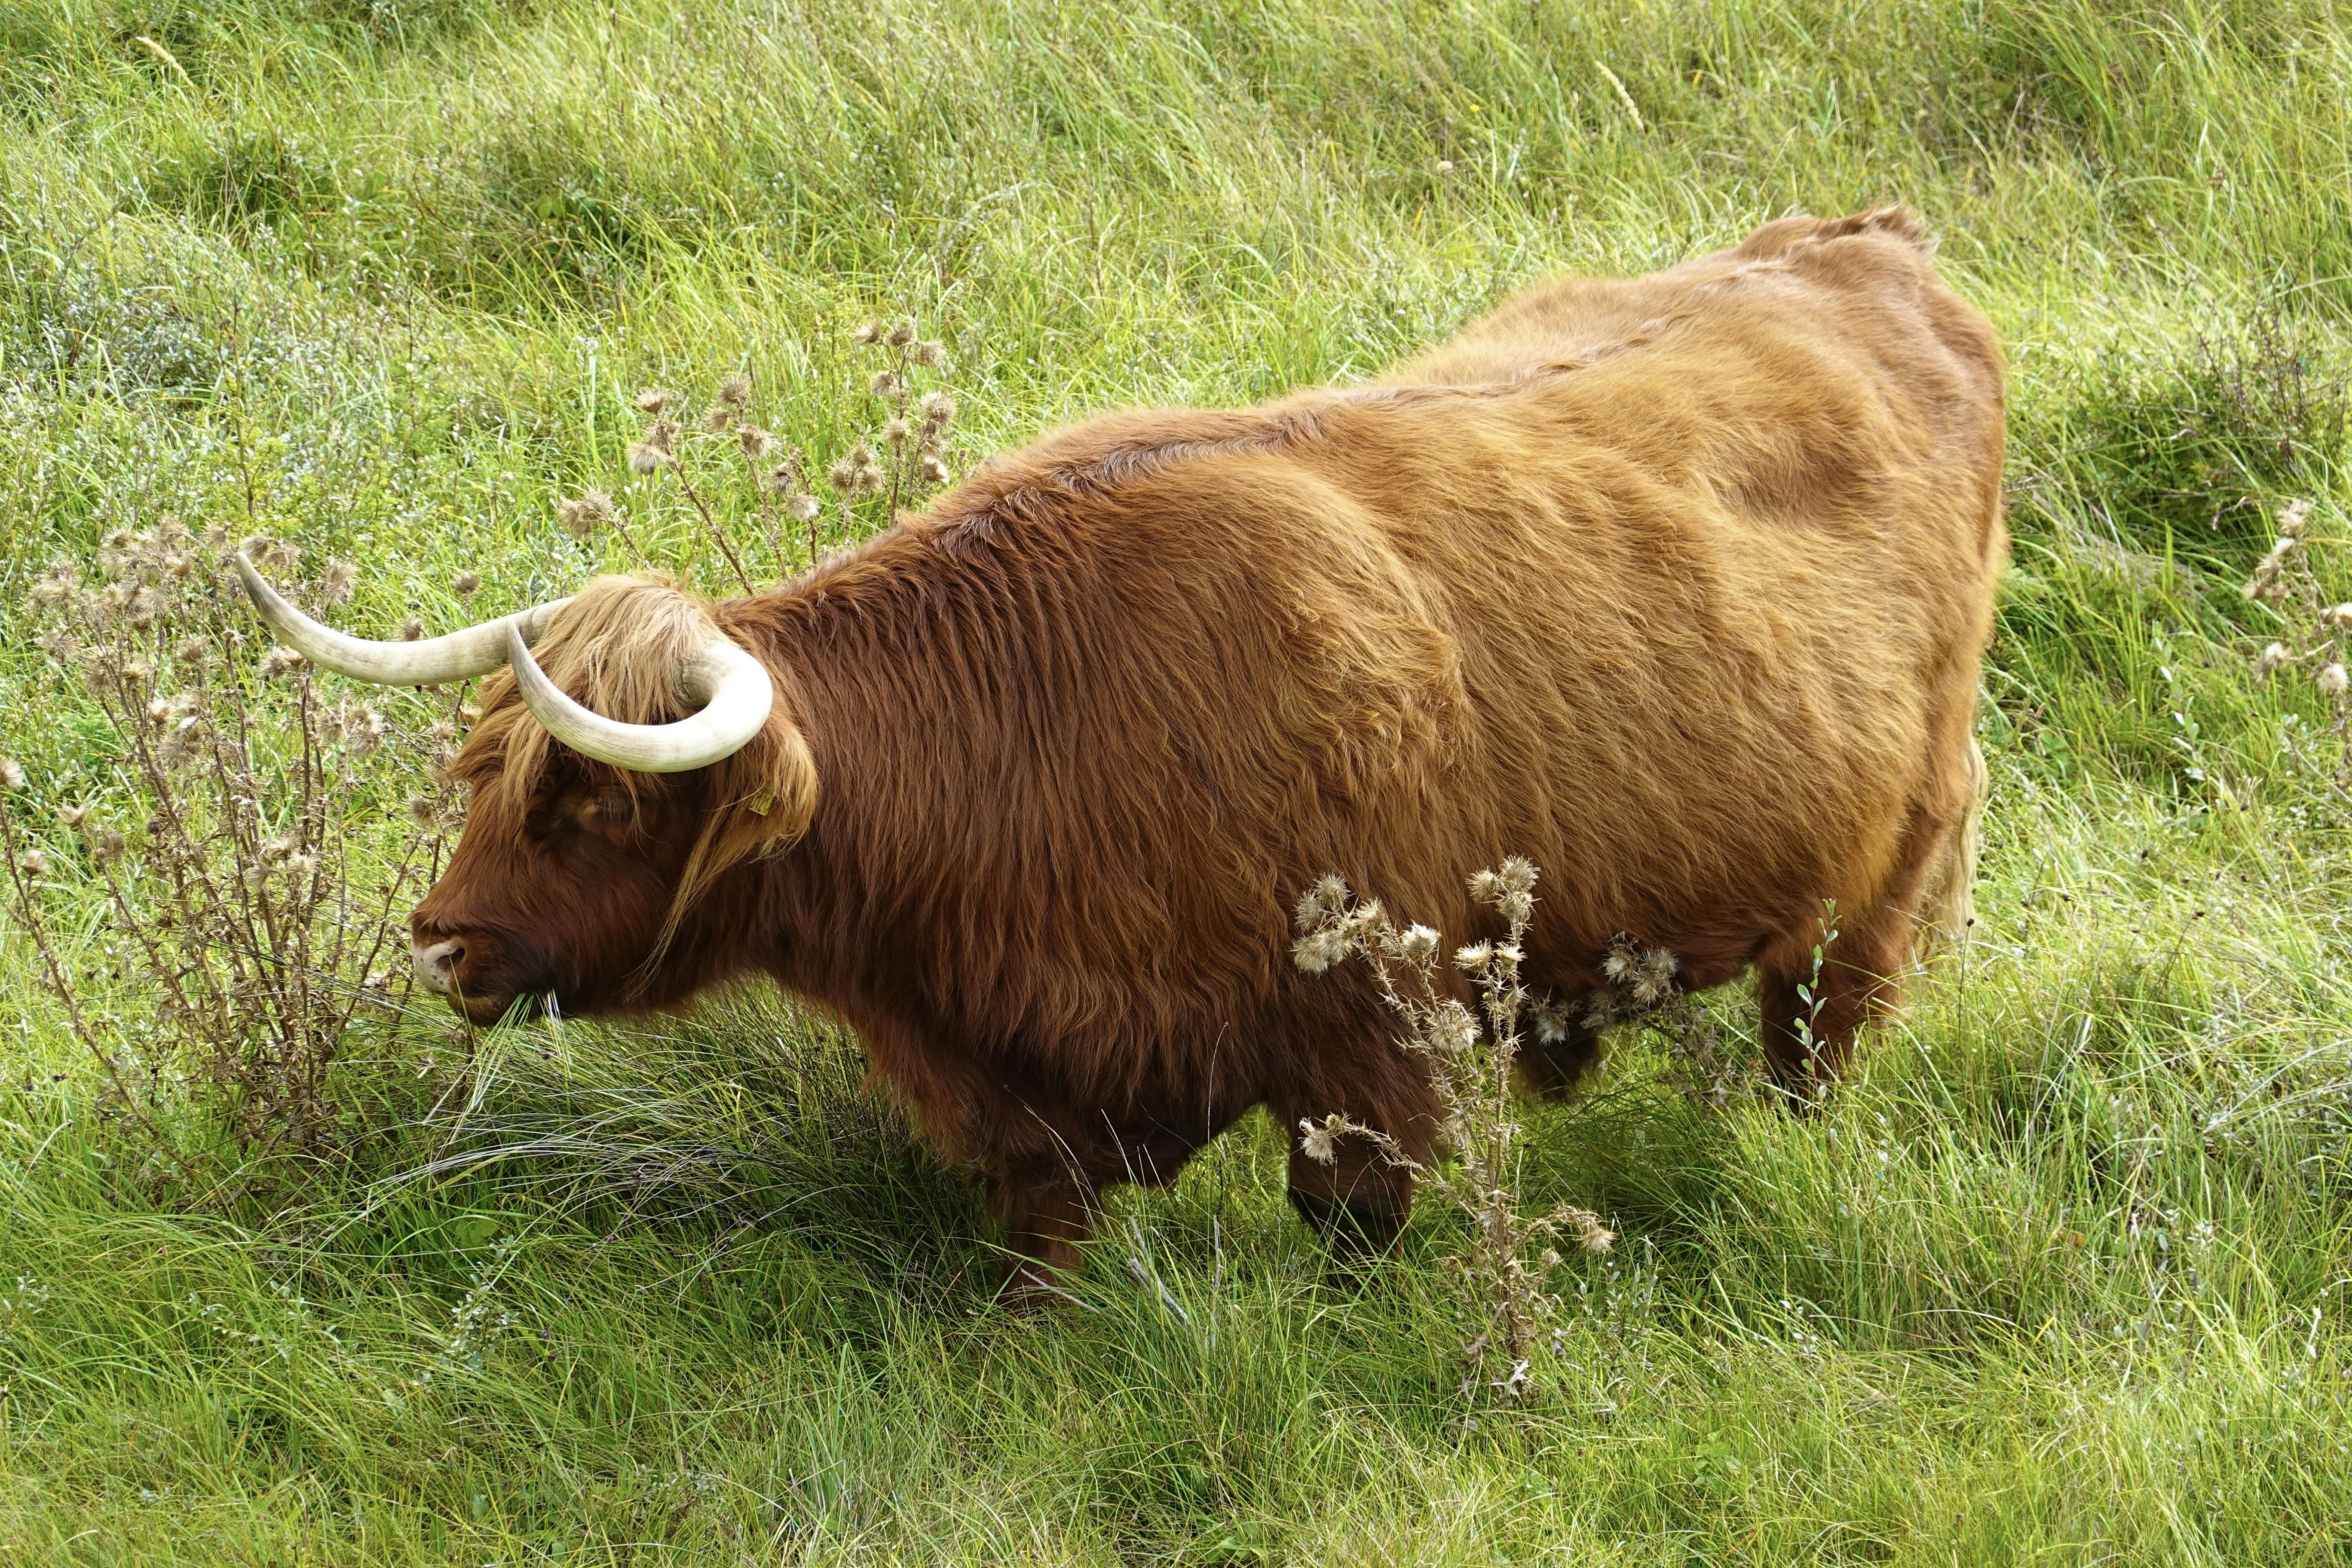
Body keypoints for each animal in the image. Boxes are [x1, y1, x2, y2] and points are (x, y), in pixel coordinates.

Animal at [238, 207, 2006, 1299]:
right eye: (481, 779)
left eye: (596, 801)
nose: (442, 942)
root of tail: (1865, 247)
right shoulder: (1034, 1105)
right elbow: (1042, 1246)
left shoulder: (1369, 1046)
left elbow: (1351, 1229)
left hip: (1881, 876)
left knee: (1818, 1040)